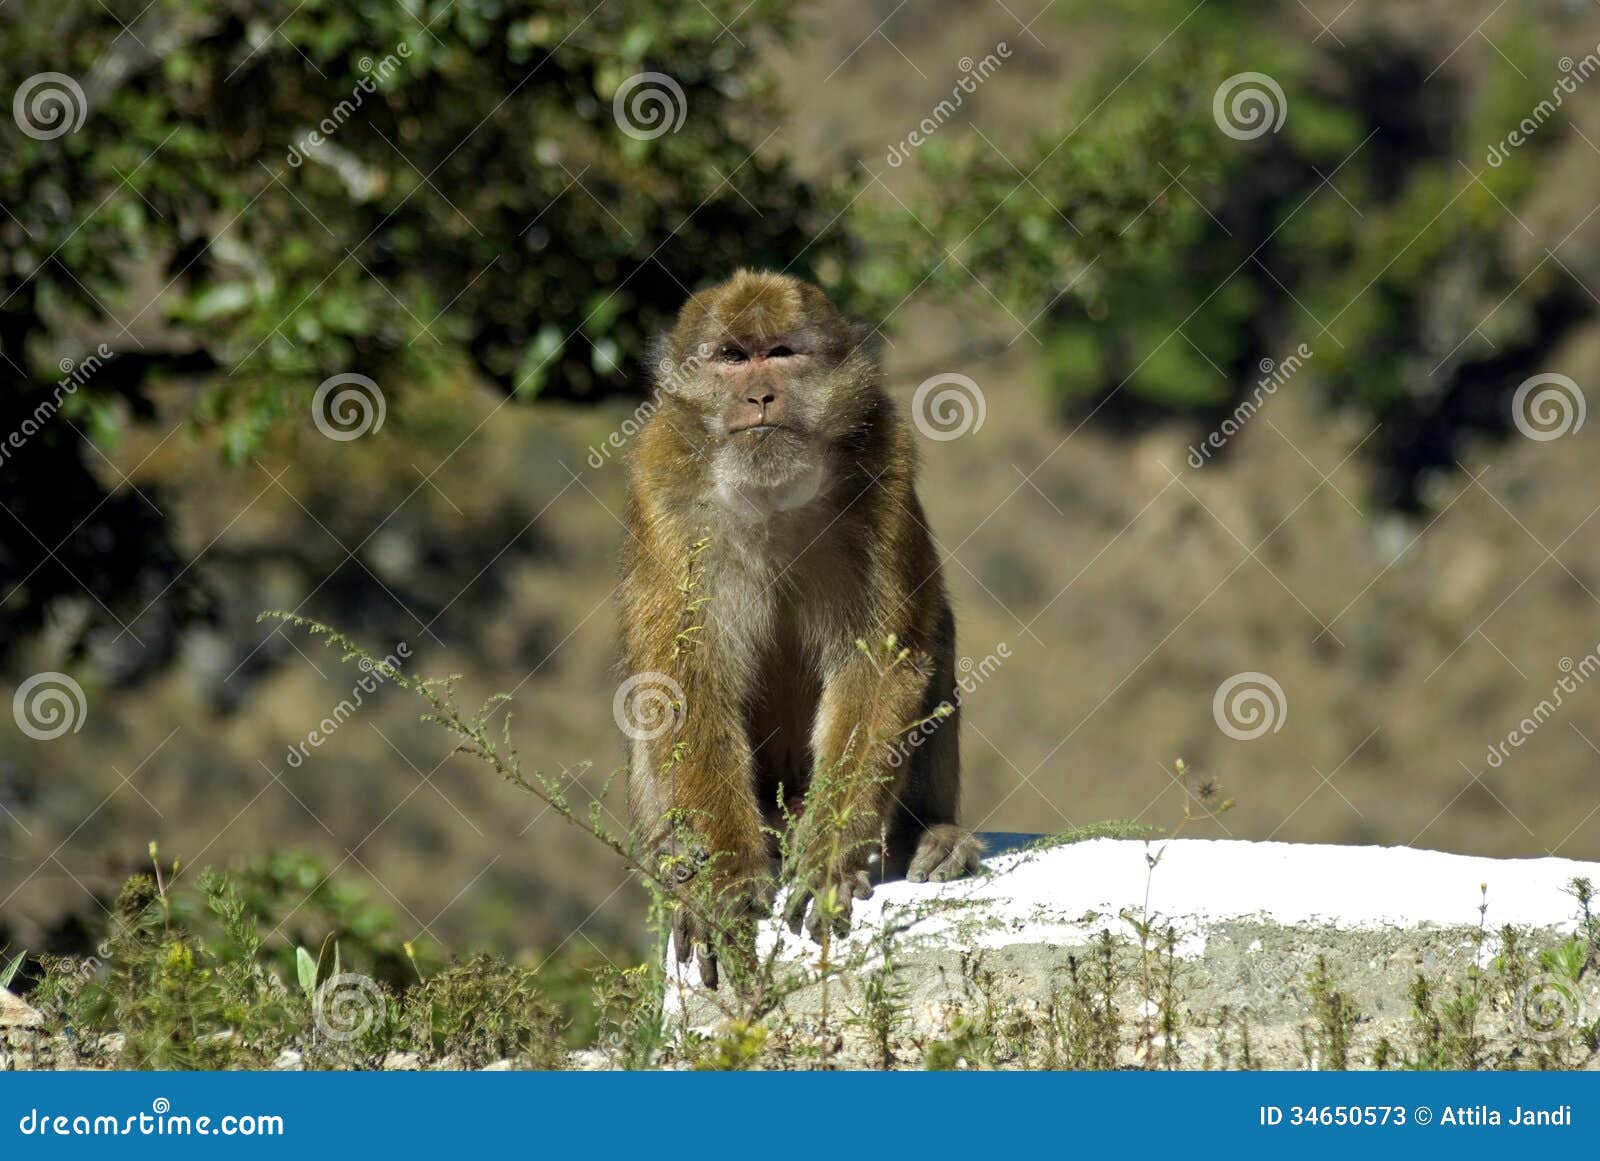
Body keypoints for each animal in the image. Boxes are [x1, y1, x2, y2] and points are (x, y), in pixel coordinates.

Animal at [619, 269, 983, 986]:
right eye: (734, 358)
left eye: (781, 353)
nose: (760, 394)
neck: (769, 496)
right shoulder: (664, 488)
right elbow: (680, 683)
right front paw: (725, 882)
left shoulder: (883, 470)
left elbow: (881, 663)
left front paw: (829, 859)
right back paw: (679, 870)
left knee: (938, 630)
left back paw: (926, 837)